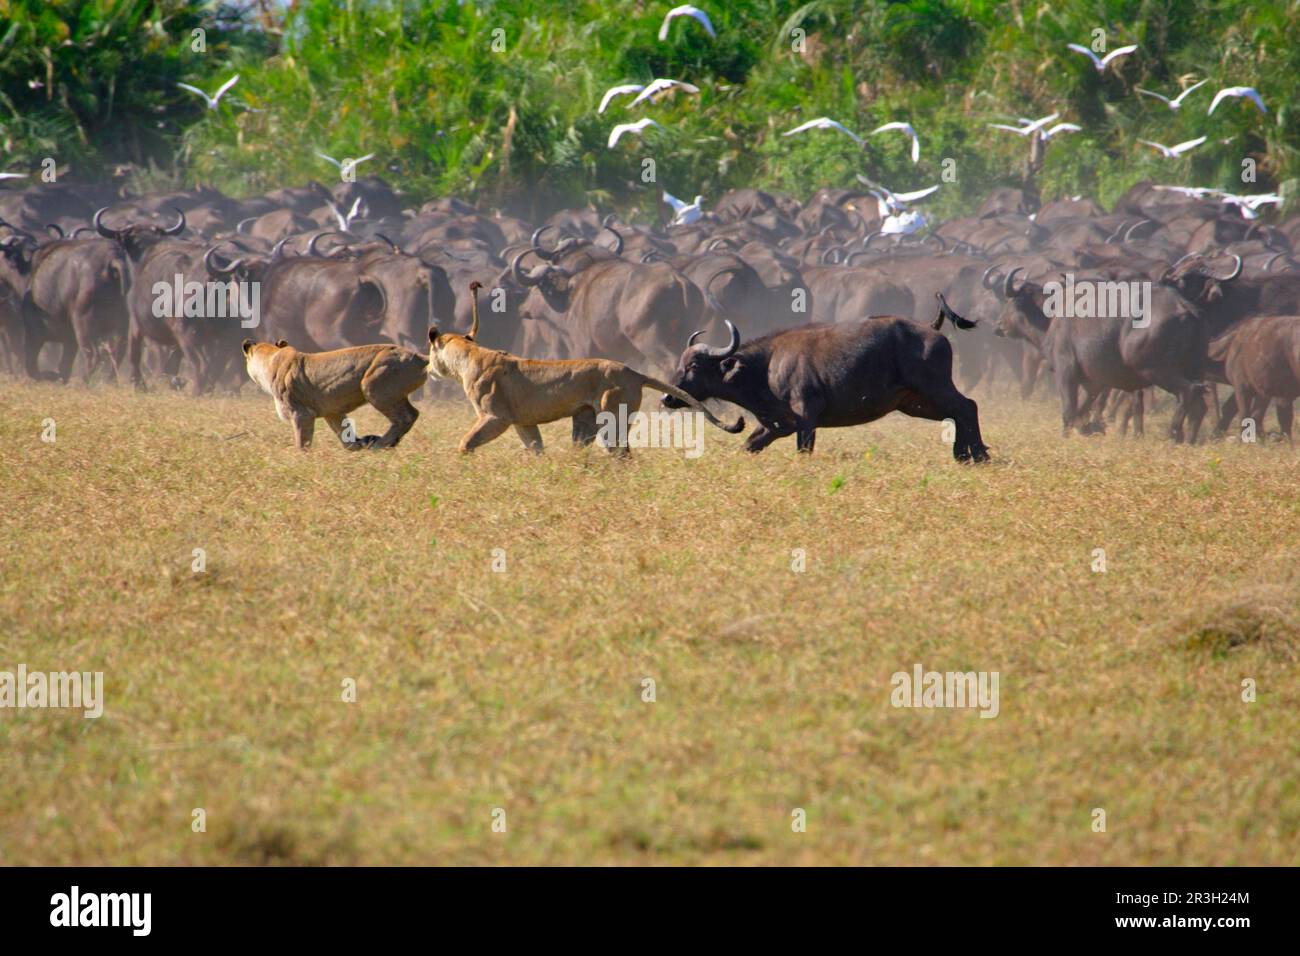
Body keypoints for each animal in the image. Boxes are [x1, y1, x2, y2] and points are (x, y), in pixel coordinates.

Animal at [242, 338, 427, 450]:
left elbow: (302, 443)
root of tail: (420, 357)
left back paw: (381, 444)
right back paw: (381, 442)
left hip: (372, 386)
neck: (271, 356)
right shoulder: (332, 413)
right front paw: (362, 442)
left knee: (406, 417)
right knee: (413, 413)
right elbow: (347, 439)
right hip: (392, 394)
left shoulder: (301, 414)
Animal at [426, 282, 743, 454]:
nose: (428, 368)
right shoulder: (523, 422)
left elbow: (465, 442)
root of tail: (634, 372)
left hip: (612, 419)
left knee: (623, 455)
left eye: (430, 353)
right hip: (585, 420)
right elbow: (536, 449)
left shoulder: (495, 417)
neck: (467, 354)